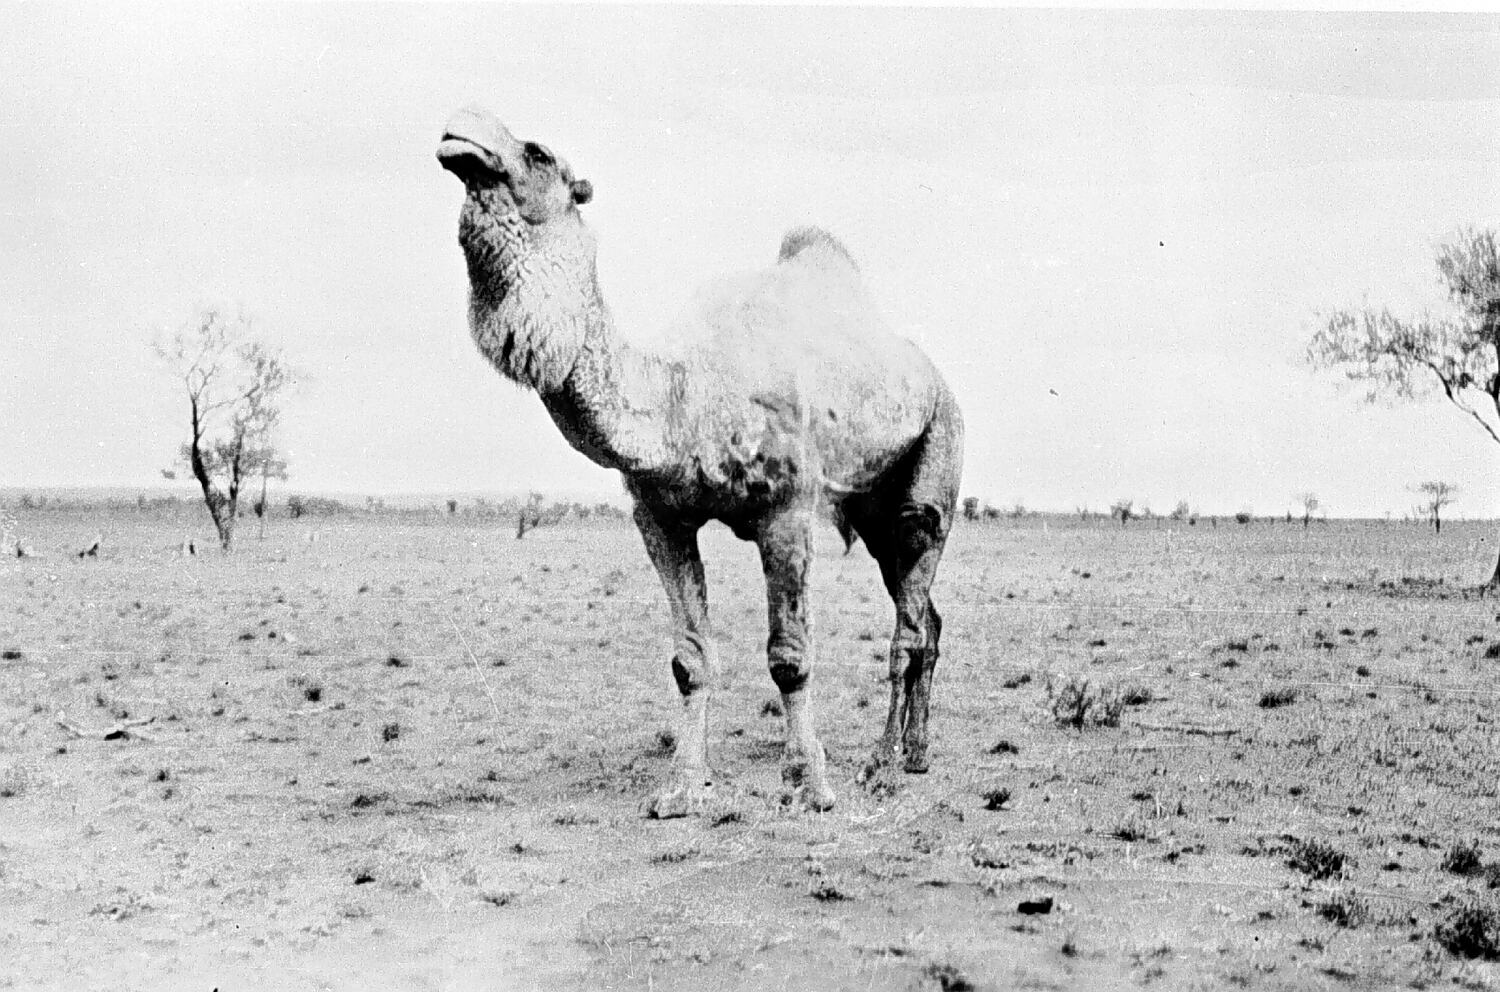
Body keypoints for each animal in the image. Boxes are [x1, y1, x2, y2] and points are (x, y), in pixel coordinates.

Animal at [437, 107, 964, 817]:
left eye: (538, 152)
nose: (458, 132)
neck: (684, 396)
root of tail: (932, 375)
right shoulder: (660, 515)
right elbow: (688, 659)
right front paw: (682, 788)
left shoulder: (787, 509)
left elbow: (788, 656)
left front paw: (807, 784)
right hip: (869, 506)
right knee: (926, 615)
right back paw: (915, 753)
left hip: (937, 453)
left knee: (909, 616)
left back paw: (880, 766)